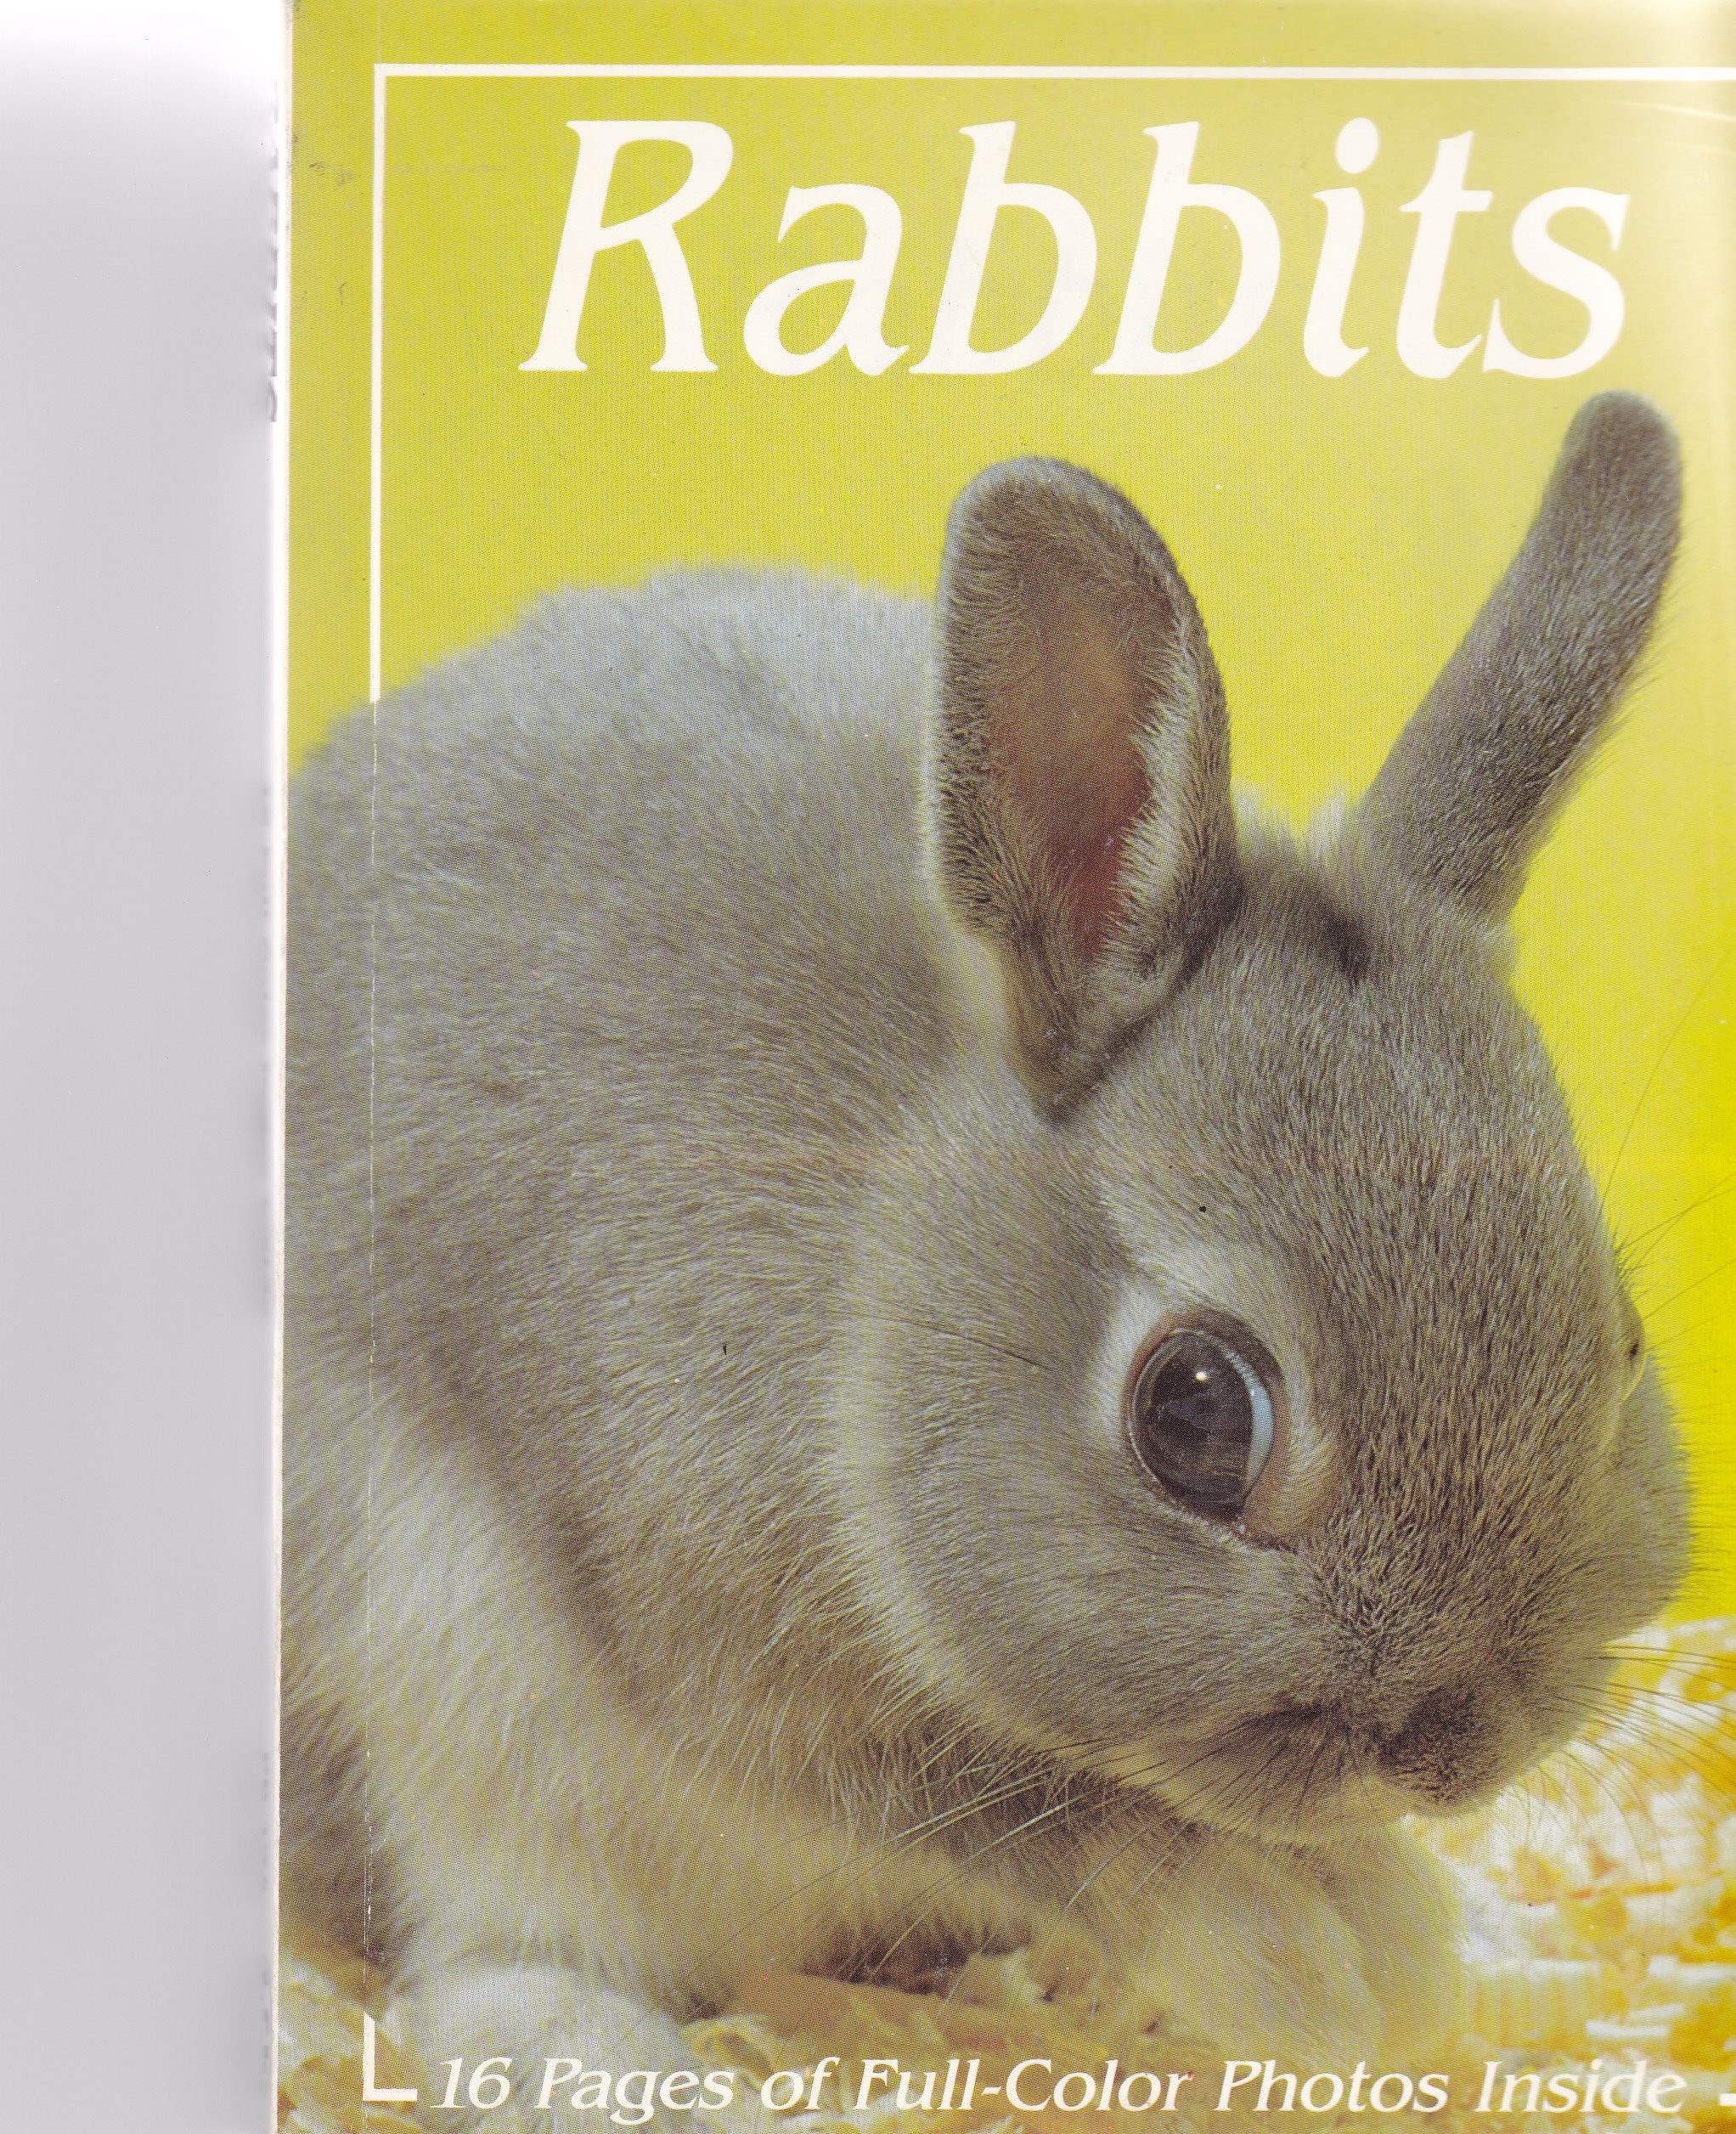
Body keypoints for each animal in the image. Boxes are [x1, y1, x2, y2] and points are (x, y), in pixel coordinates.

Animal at [281, 391, 1689, 2124]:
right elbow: (1053, 1806)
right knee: (482, 1958)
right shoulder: (733, 1641)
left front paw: (1418, 1932)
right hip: (444, 1717)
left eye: (1622, 1339)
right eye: (1195, 1415)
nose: (1450, 1753)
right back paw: (624, 2068)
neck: (882, 1275)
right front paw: (1308, 1956)